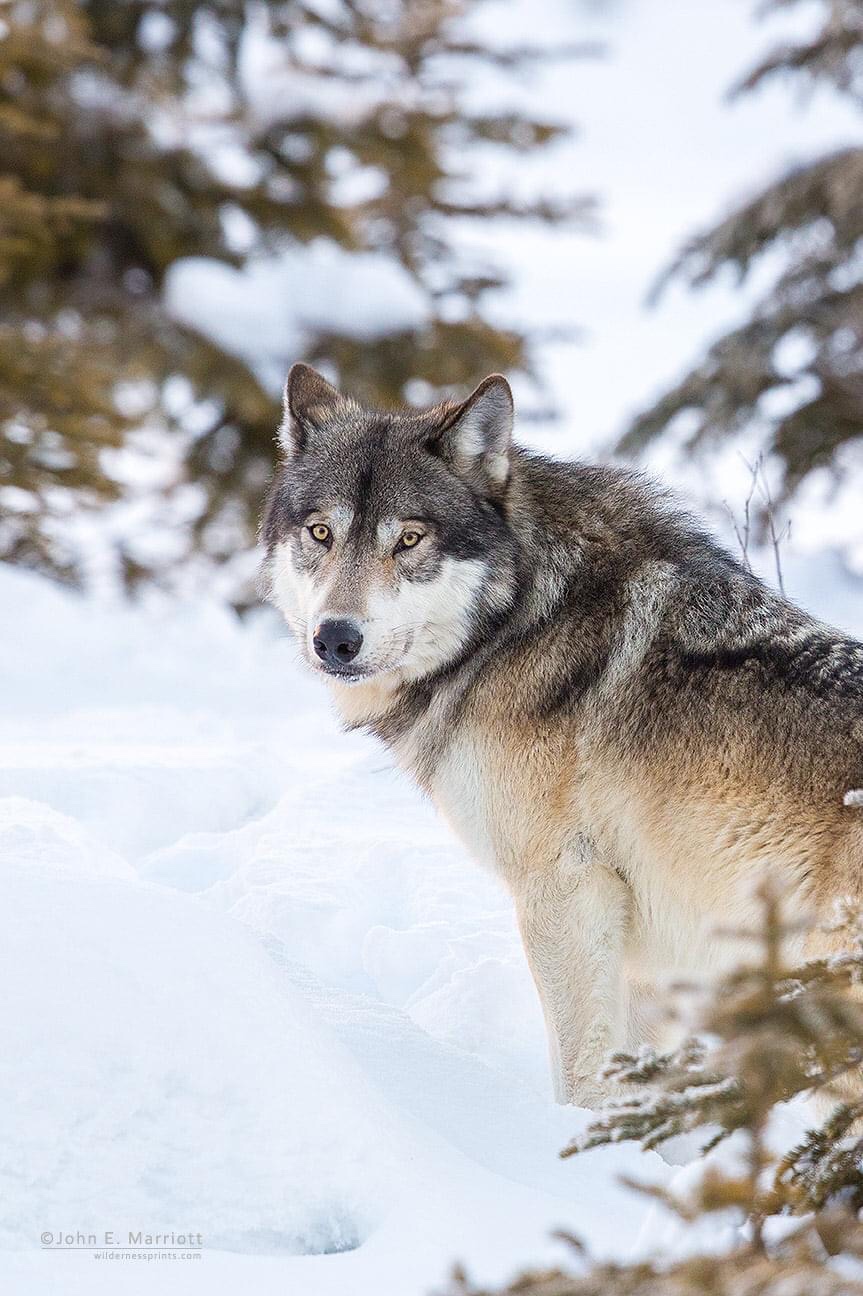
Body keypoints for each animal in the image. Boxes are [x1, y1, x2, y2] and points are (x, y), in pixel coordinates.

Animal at [261, 363, 863, 1106]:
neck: (516, 618)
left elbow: (579, 1076)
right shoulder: (641, 945)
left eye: (408, 540)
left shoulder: (564, 891)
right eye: (321, 533)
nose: (336, 639)